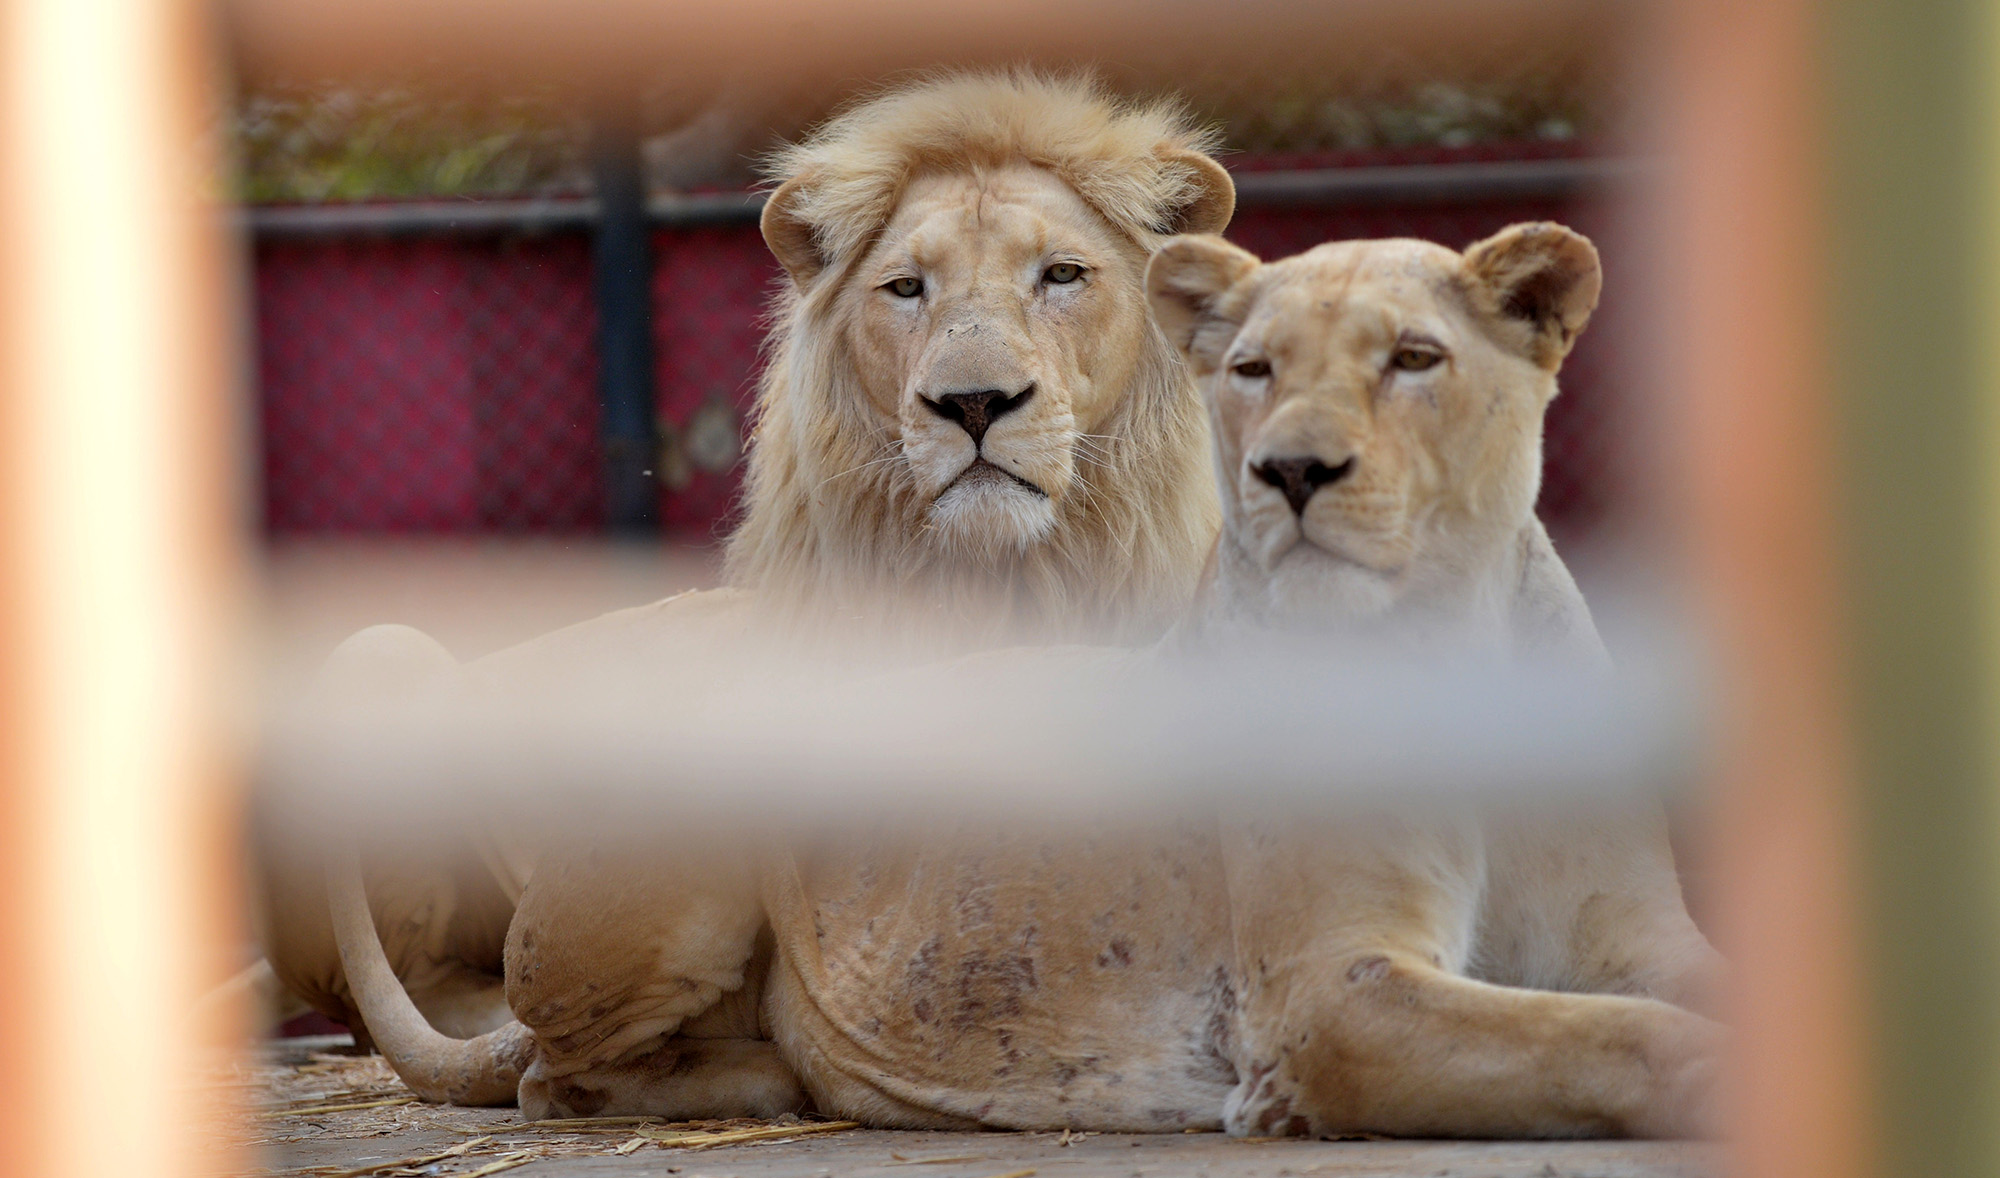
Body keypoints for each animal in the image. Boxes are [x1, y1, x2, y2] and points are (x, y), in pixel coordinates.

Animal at [329, 215, 1724, 1140]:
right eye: (1252, 369)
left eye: (1414, 359)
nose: (1289, 472)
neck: (1452, 630)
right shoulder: (1323, 1003)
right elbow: (1612, 1036)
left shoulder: (1631, 930)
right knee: (549, 1076)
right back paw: (788, 1068)